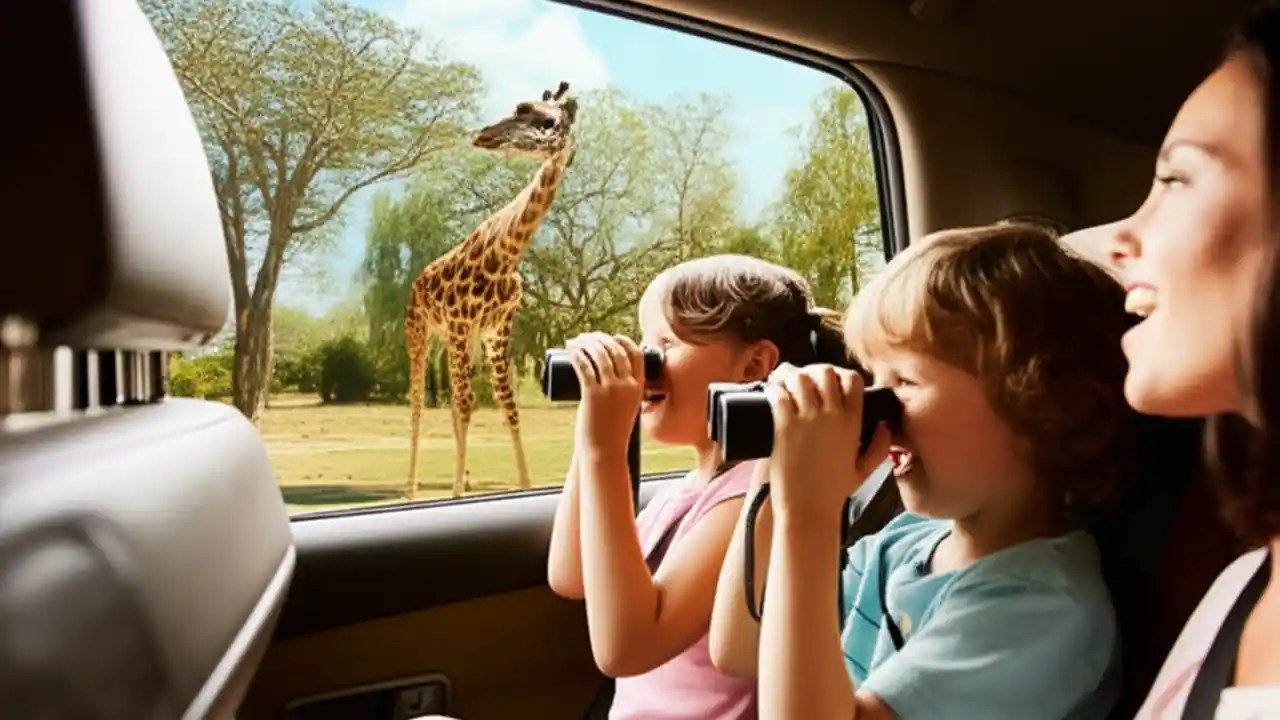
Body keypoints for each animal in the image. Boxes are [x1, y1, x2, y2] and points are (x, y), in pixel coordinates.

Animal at [405, 81, 579, 500]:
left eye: (547, 121)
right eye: (519, 107)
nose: (484, 134)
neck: (506, 254)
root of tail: (416, 281)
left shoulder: (496, 329)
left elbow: (506, 402)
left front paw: (524, 483)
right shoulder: (461, 324)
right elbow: (467, 403)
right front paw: (455, 491)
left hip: (456, 341)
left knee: (453, 400)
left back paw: (461, 478)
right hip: (420, 333)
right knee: (418, 400)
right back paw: (411, 488)